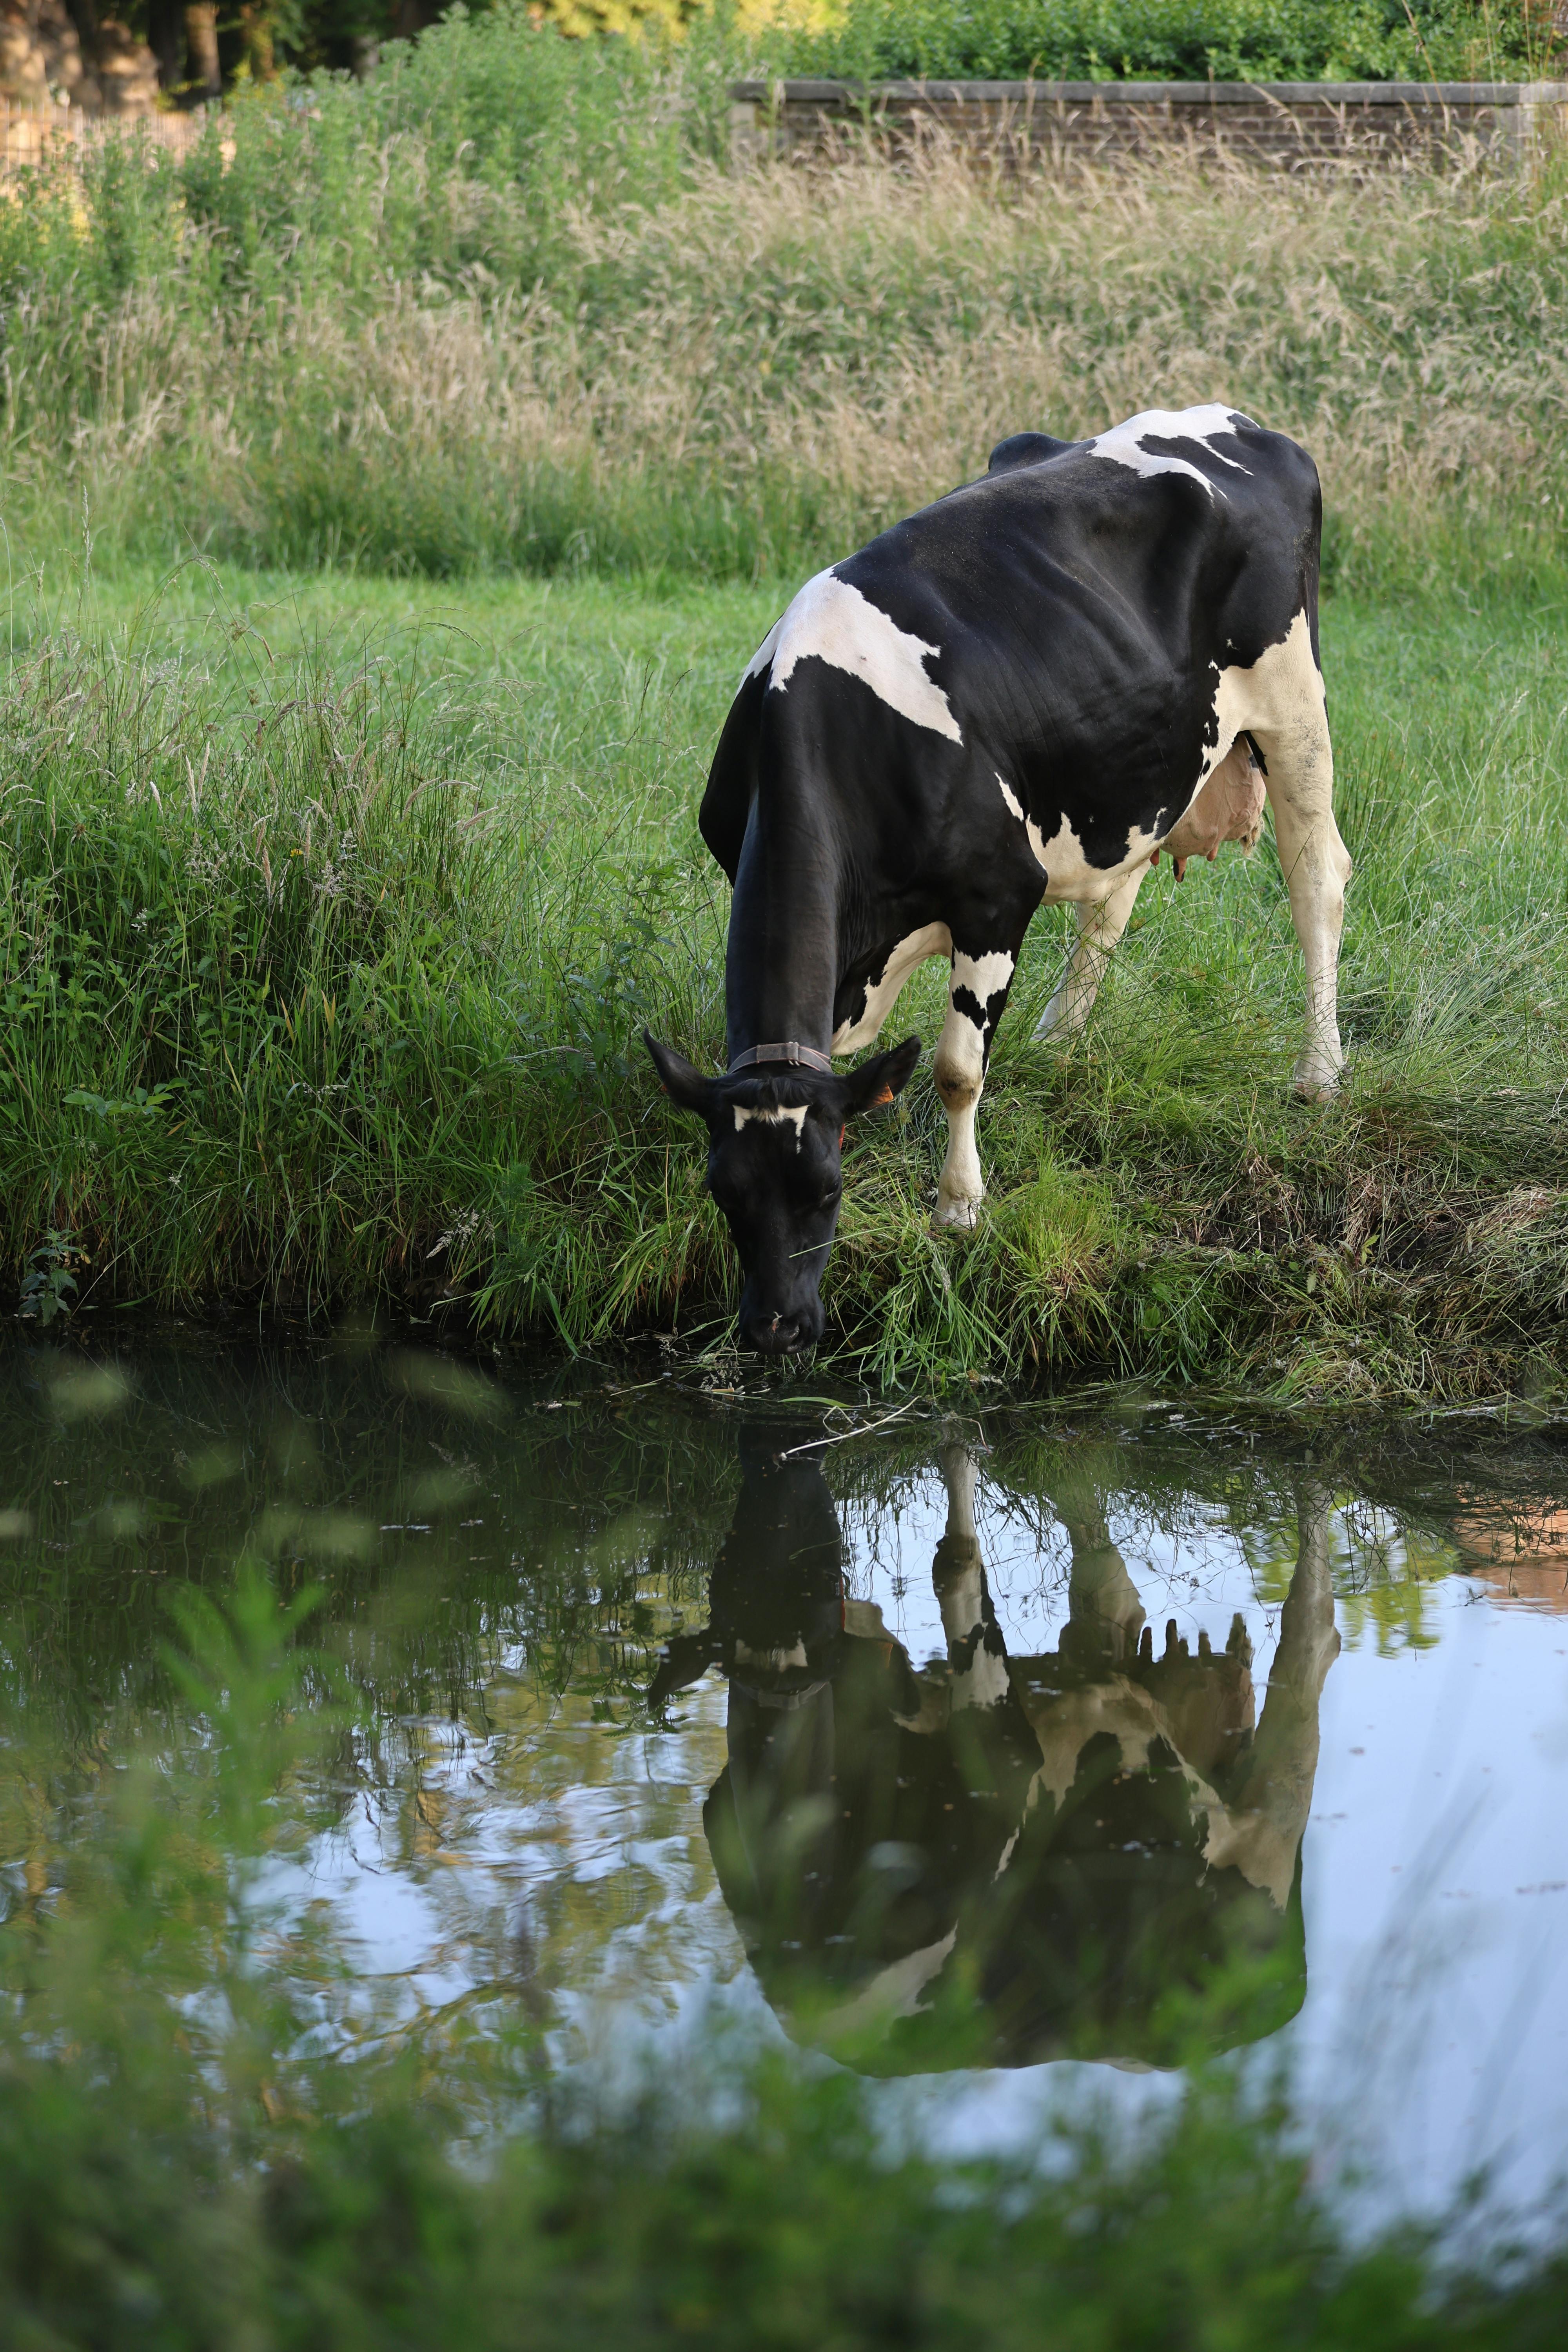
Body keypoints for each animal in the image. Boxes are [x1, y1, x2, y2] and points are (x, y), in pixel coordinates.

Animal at [645, 406, 1352, 1356]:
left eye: (826, 1190)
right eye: (723, 1191)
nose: (776, 1327)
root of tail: (1236, 419)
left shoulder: (995, 898)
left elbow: (956, 1071)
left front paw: (959, 1211)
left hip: (1293, 708)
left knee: (1316, 880)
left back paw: (1319, 1072)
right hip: (1128, 765)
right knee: (1114, 898)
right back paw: (1060, 1038)